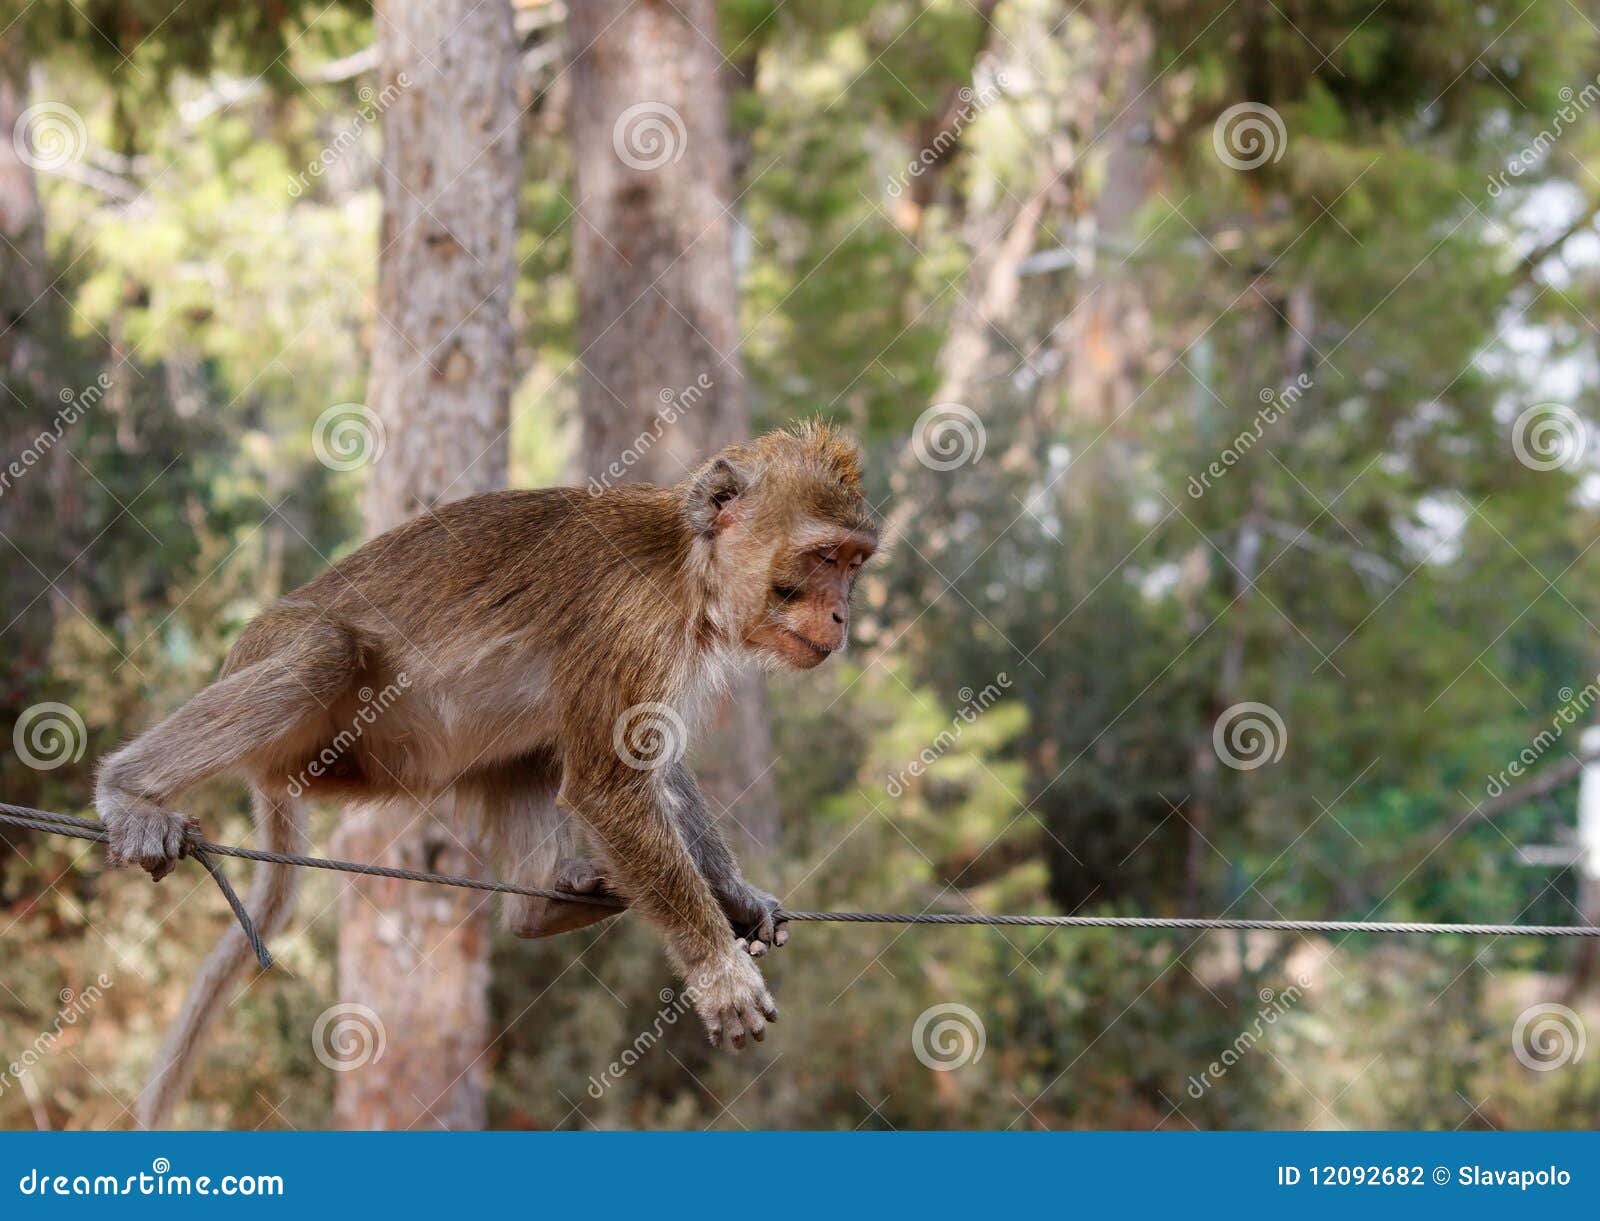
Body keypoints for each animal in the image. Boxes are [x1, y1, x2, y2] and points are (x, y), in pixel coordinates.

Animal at [94, 421, 879, 1128]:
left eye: (852, 564)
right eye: (822, 556)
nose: (843, 616)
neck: (686, 567)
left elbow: (650, 763)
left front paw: (734, 894)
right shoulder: (630, 621)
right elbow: (610, 785)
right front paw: (719, 970)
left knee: (530, 742)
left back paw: (541, 906)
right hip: (292, 682)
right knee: (325, 652)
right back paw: (128, 789)